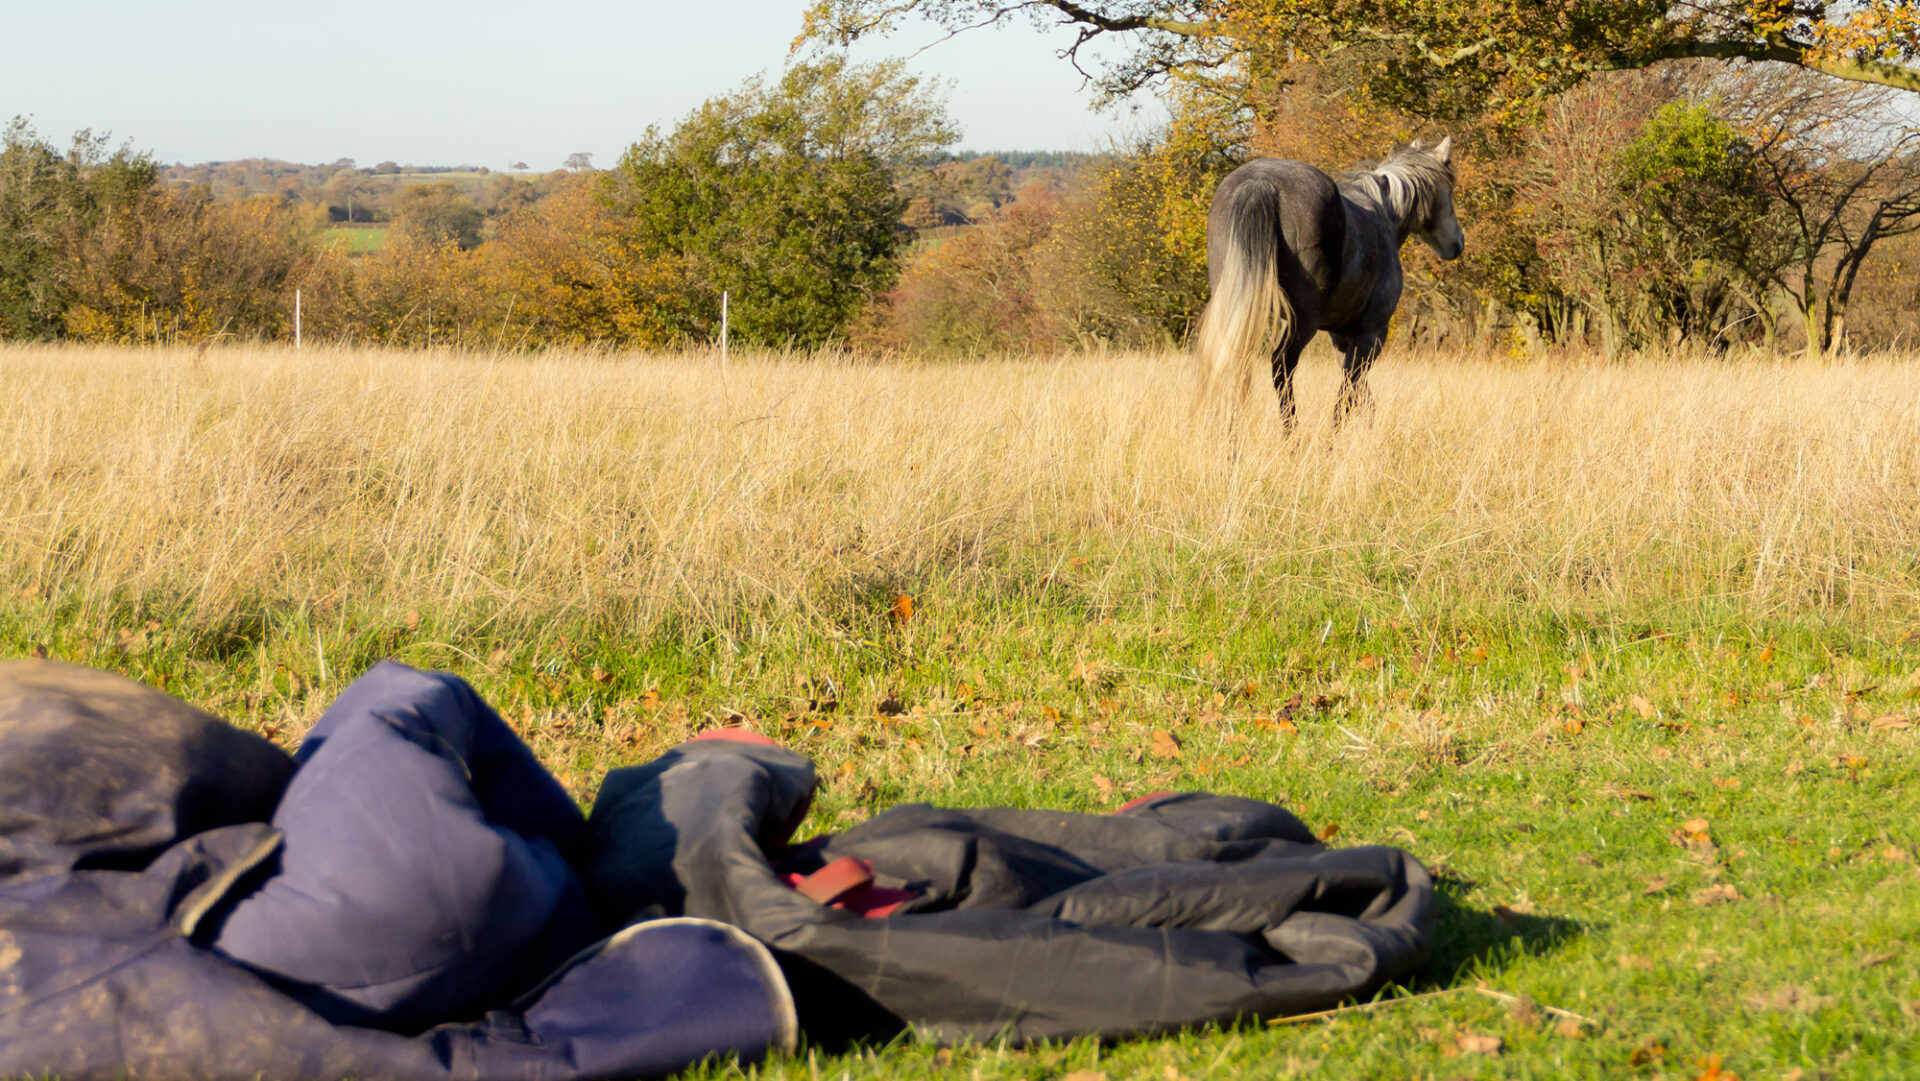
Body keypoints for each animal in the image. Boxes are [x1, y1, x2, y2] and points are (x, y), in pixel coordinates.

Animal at [1192, 136, 1465, 428]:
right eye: (1449, 190)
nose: (1457, 243)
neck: (1383, 215)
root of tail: (1260, 182)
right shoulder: (1371, 335)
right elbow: (1348, 393)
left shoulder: (1342, 338)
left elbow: (1361, 394)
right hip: (1301, 322)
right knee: (1282, 370)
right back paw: (1291, 434)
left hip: (1240, 307)